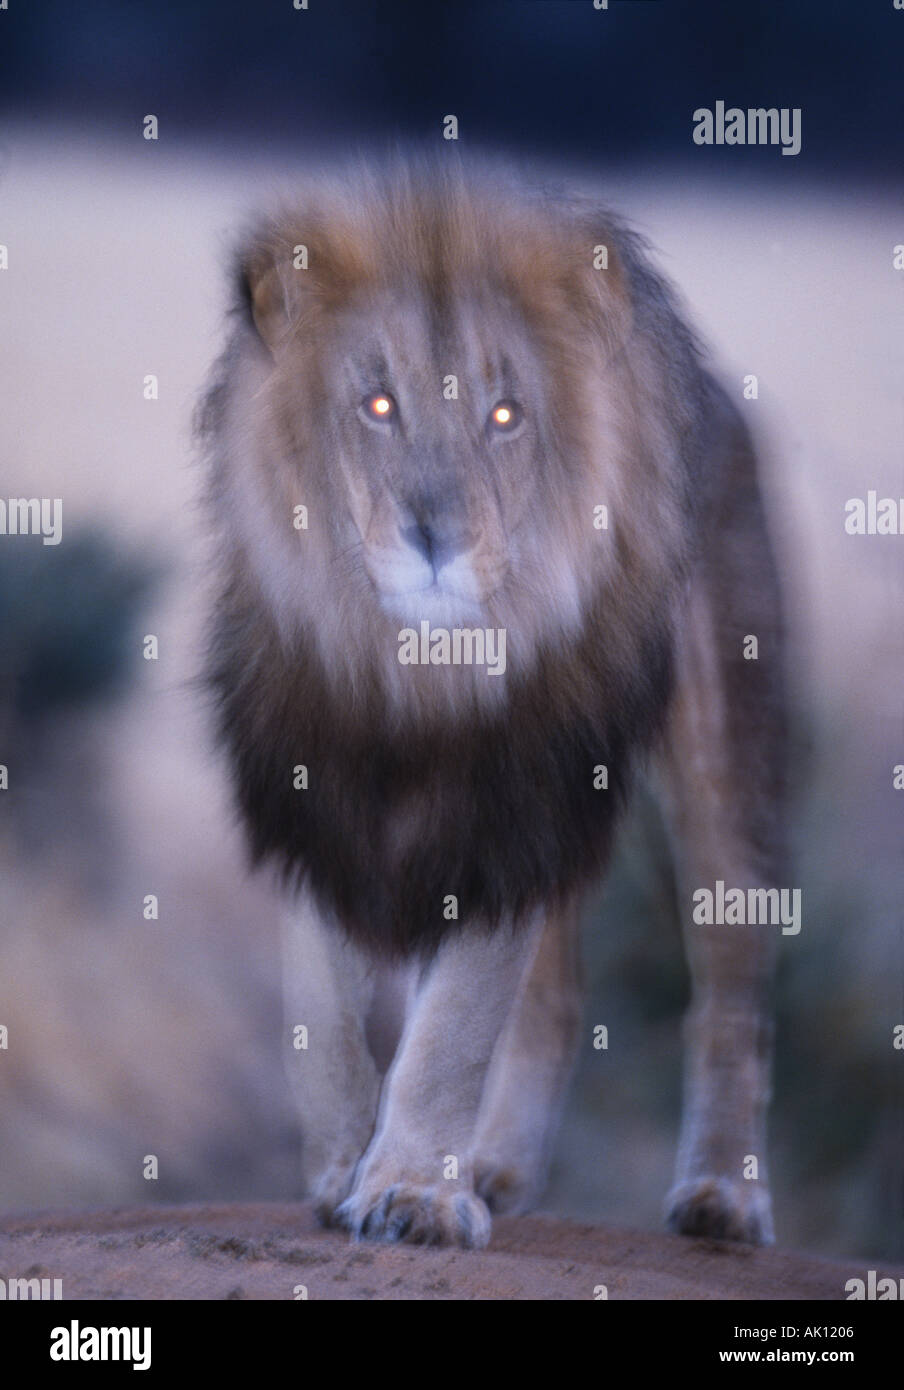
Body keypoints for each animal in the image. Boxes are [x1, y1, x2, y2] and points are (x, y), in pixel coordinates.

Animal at [199, 156, 788, 1250]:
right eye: (376, 403)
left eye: (505, 415)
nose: (433, 533)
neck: (416, 666)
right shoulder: (311, 779)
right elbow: (324, 1011)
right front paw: (345, 1165)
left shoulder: (516, 792)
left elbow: (456, 1025)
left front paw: (413, 1192)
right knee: (554, 993)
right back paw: (493, 1164)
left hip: (726, 742)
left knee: (732, 980)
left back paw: (723, 1196)